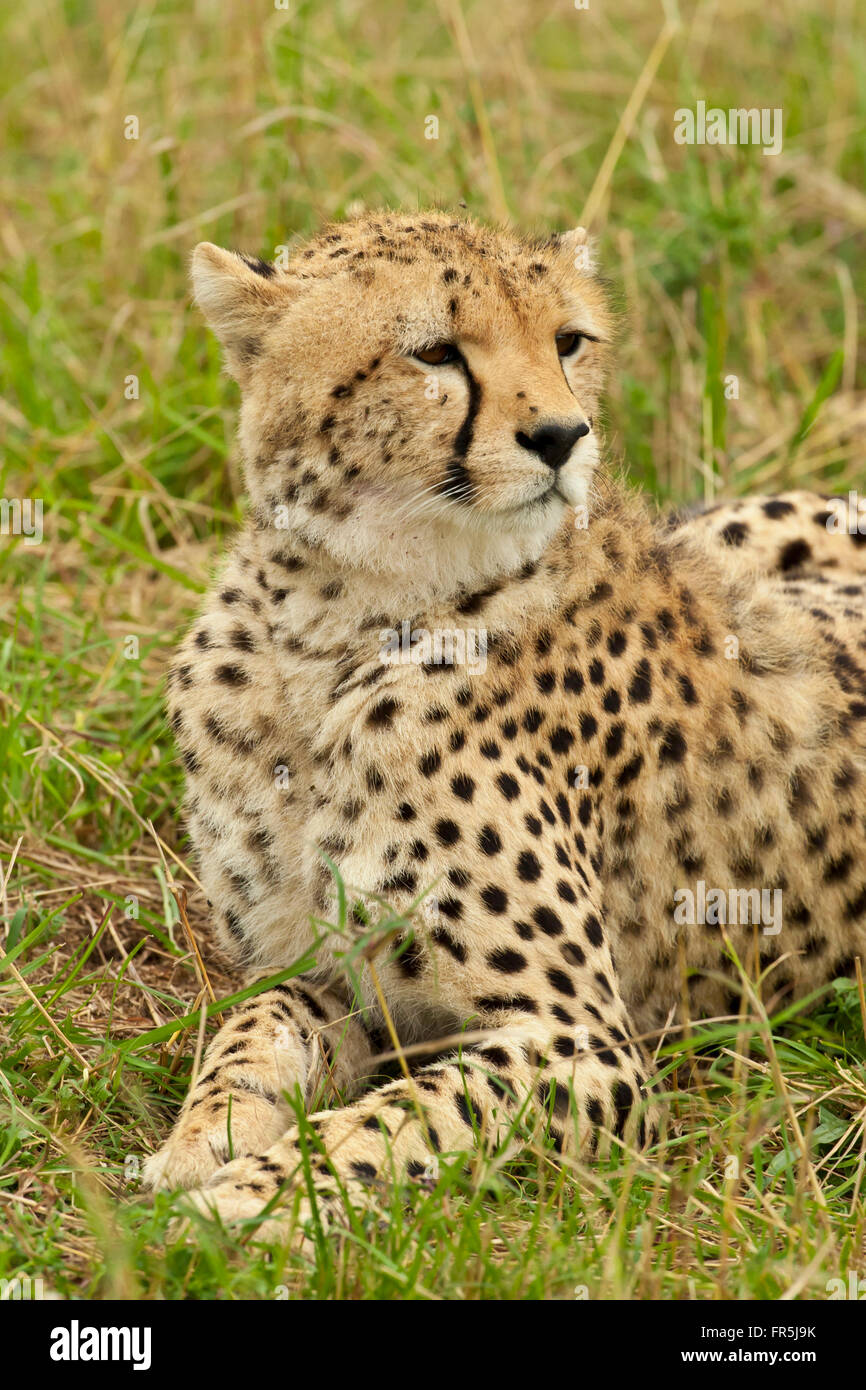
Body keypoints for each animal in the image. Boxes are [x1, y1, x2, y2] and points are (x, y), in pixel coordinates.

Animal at [143, 209, 866, 1241]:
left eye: (569, 341)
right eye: (434, 352)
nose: (563, 436)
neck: (329, 625)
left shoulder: (587, 1044)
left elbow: (391, 1127)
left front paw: (244, 1203)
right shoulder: (325, 974)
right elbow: (253, 1027)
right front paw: (202, 1142)